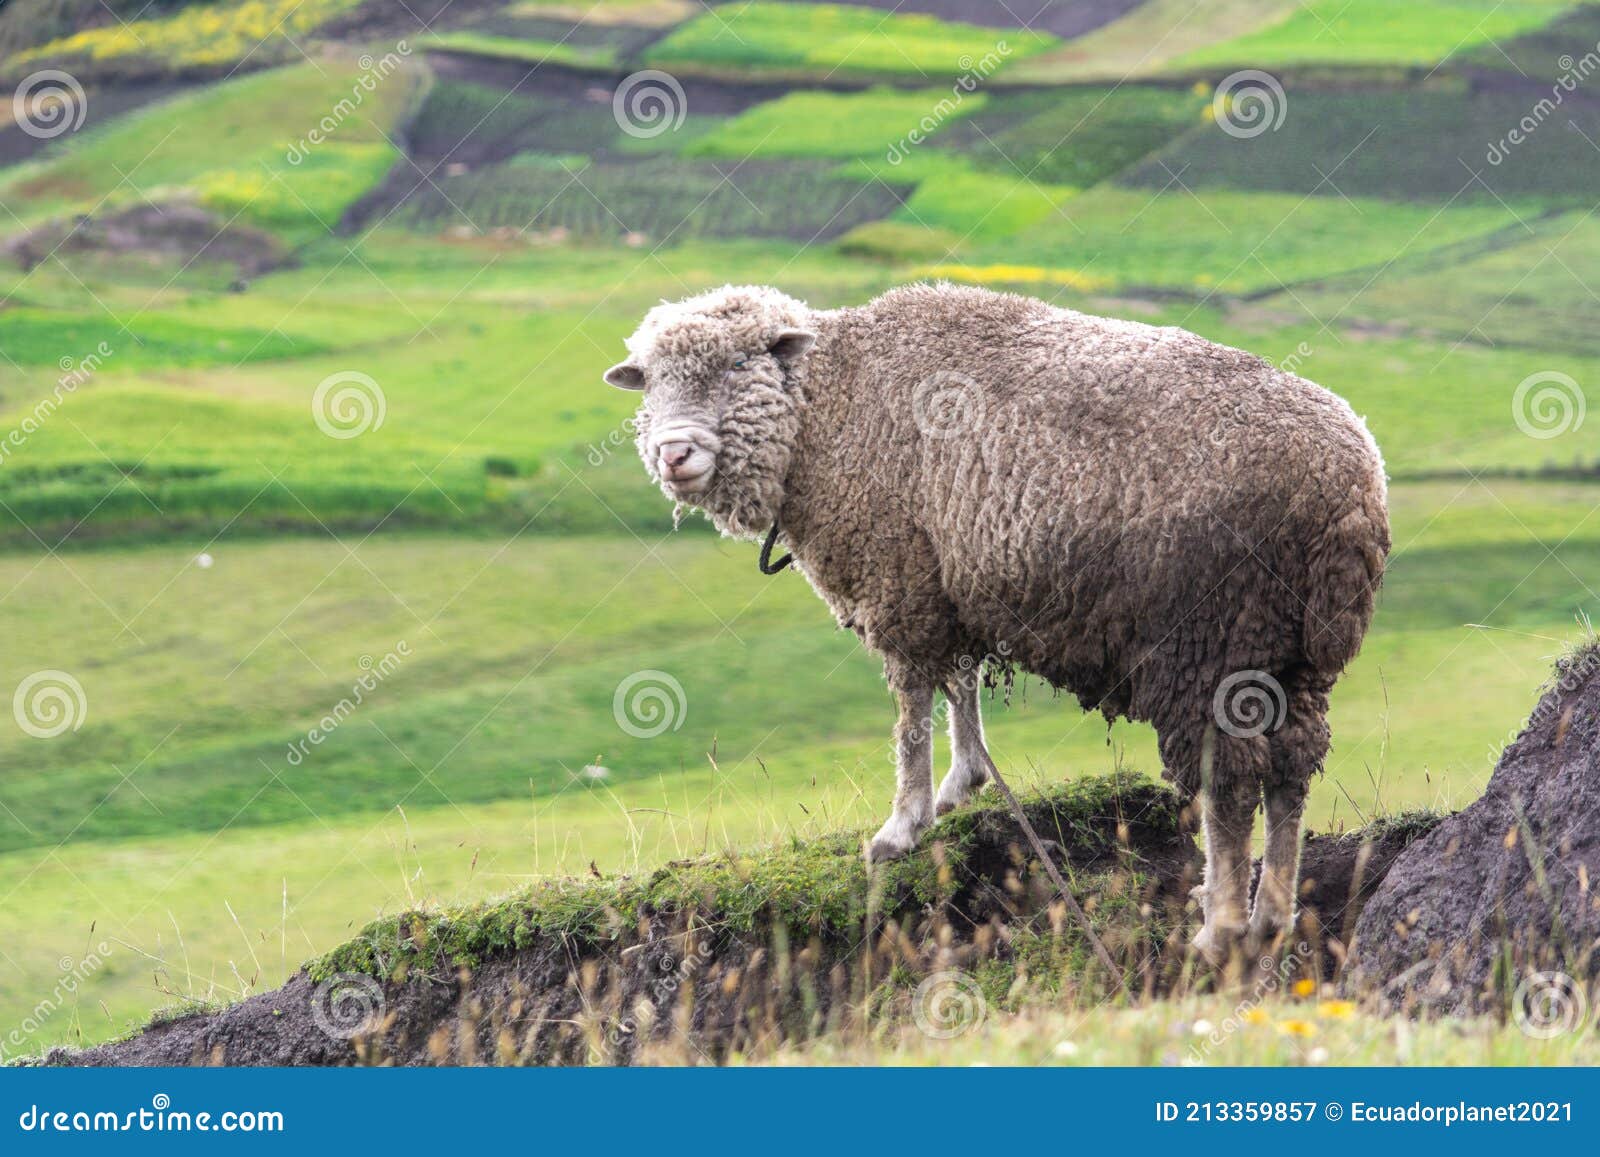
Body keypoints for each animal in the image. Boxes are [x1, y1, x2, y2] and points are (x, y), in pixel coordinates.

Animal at [604, 282, 1389, 961]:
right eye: (649, 382)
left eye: (739, 363)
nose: (674, 453)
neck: (831, 407)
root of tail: (1352, 490)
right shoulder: (946, 579)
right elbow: (961, 683)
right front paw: (966, 780)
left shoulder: (900, 578)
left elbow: (912, 710)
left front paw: (904, 824)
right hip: (1292, 652)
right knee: (1289, 769)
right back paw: (1272, 914)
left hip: (1213, 641)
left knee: (1228, 781)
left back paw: (1220, 926)